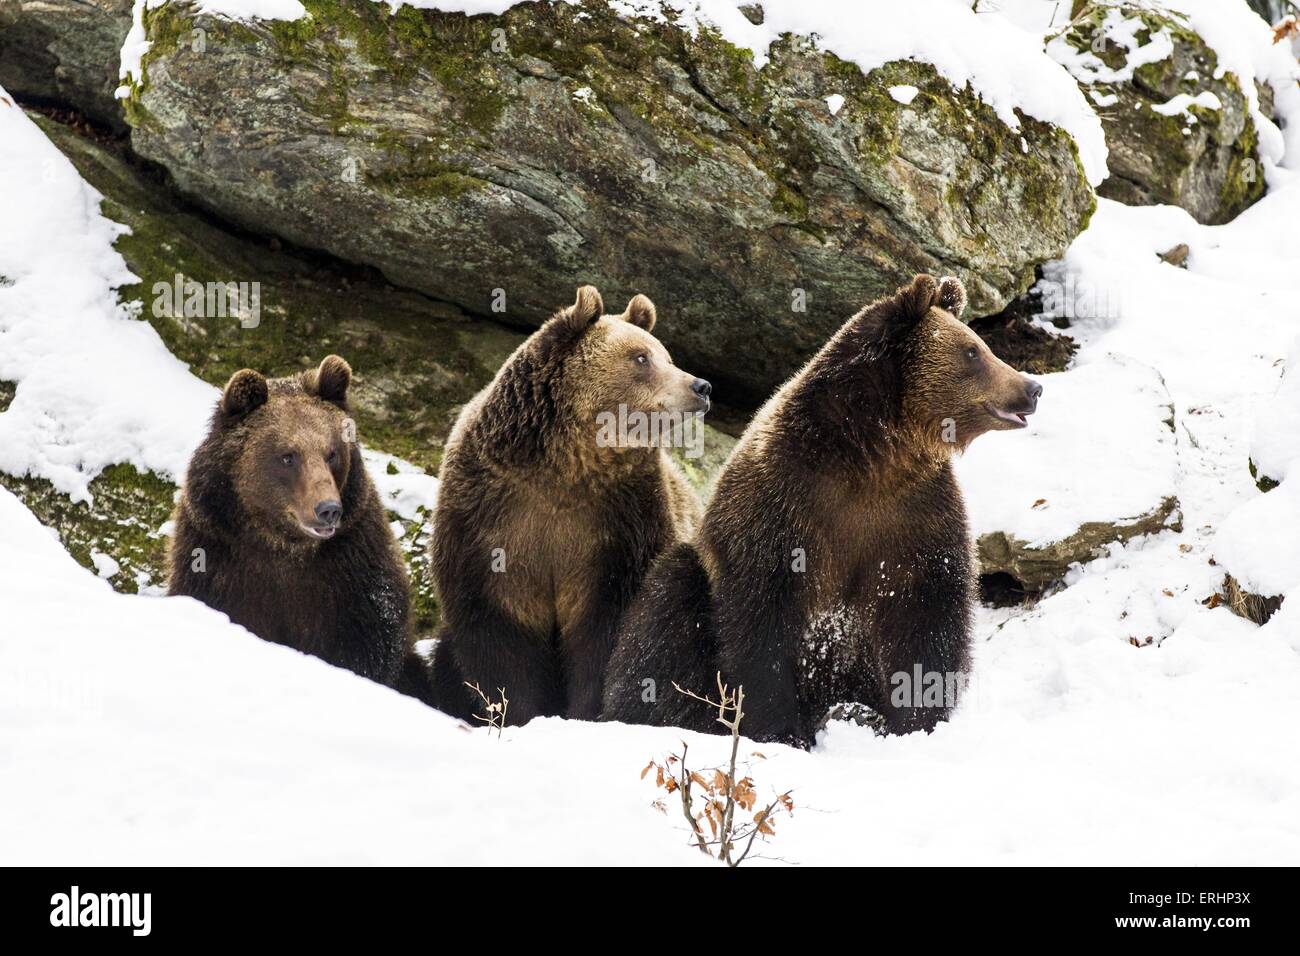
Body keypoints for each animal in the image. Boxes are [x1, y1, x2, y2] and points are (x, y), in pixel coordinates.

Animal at [168, 356, 411, 686]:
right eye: (287, 456)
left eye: (332, 453)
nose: (328, 509)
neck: (282, 545)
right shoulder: (217, 562)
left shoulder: (353, 576)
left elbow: (368, 645)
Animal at [417, 285, 712, 725]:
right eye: (641, 357)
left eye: (666, 356)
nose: (701, 386)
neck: (566, 470)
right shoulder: (491, 518)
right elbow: (497, 631)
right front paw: (514, 712)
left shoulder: (619, 525)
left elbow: (605, 632)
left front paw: (584, 712)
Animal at [602, 274, 1042, 746]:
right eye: (973, 351)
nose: (1032, 388)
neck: (875, 457)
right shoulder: (783, 508)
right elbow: (760, 625)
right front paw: (779, 730)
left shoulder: (916, 515)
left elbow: (928, 616)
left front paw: (915, 719)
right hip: (690, 584)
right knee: (667, 614)